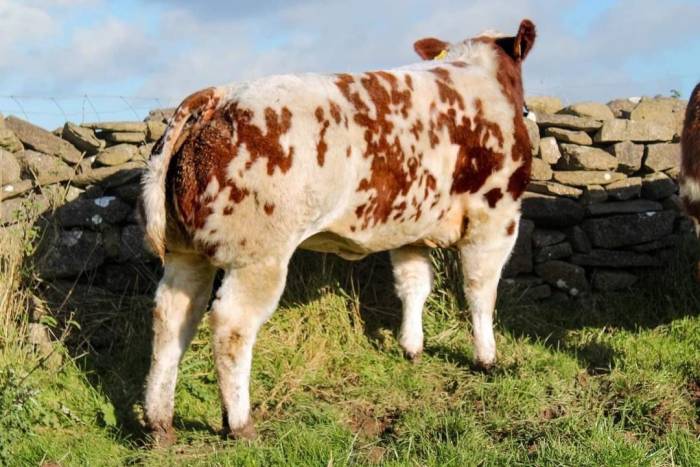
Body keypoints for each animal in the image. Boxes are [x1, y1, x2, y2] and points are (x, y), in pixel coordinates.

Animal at [141, 19, 536, 446]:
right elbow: (481, 291)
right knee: (231, 326)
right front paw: (487, 358)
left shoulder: (410, 224)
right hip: (259, 256)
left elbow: (413, 286)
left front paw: (411, 347)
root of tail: (220, 94)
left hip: (185, 253)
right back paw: (240, 424)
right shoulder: (496, 214)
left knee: (171, 317)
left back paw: (159, 423)